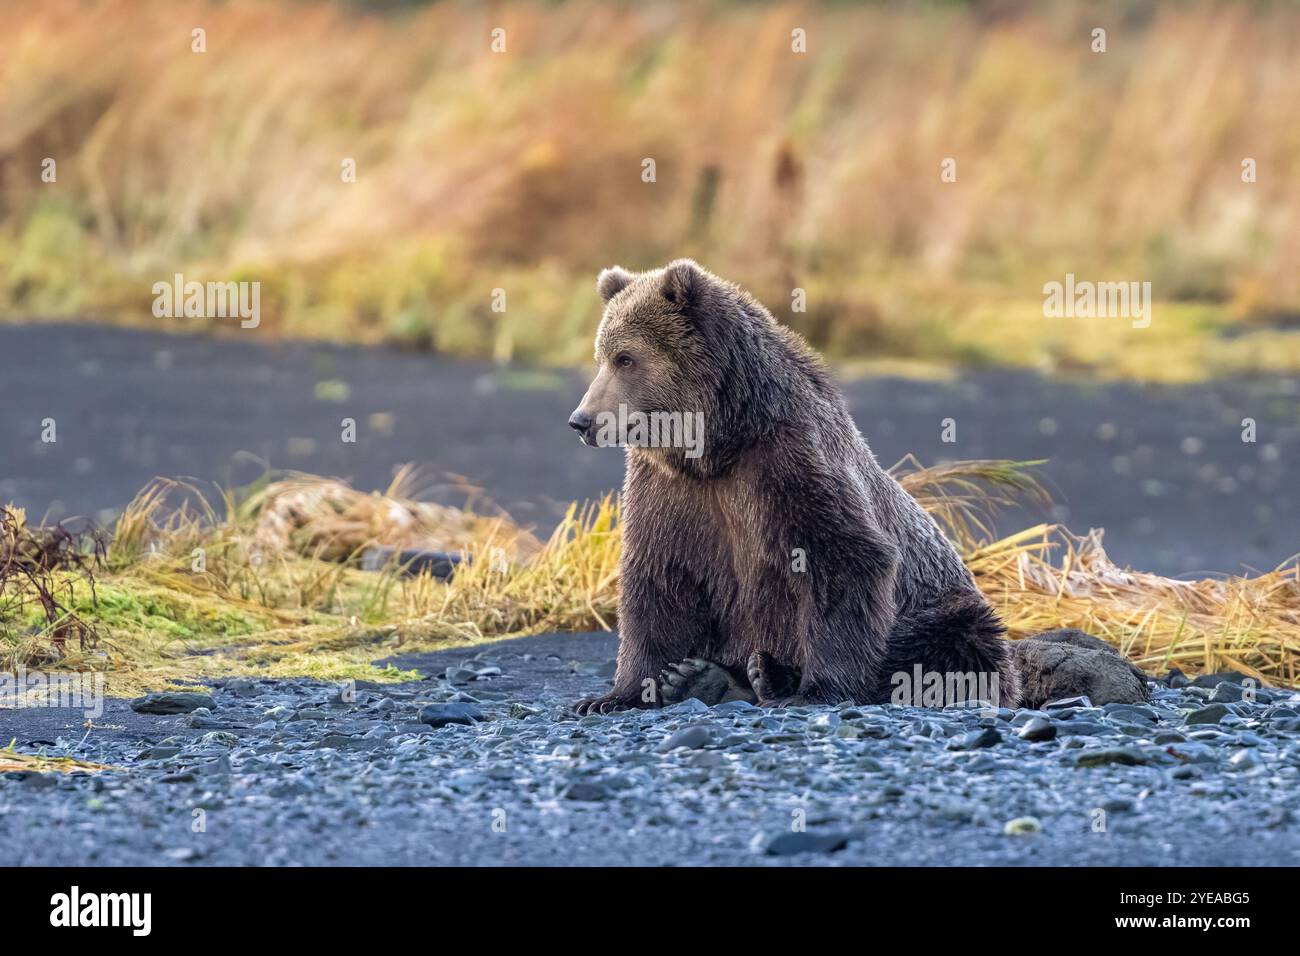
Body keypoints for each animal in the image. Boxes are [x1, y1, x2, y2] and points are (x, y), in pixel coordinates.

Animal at [567, 259, 1024, 715]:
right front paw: (613, 696)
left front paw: (817, 690)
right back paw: (707, 678)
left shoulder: (791, 465)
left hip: (941, 608)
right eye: (602, 357)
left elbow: (842, 559)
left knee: (958, 641)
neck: (718, 445)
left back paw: (767, 676)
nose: (582, 420)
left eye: (626, 358)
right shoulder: (670, 492)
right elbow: (658, 580)